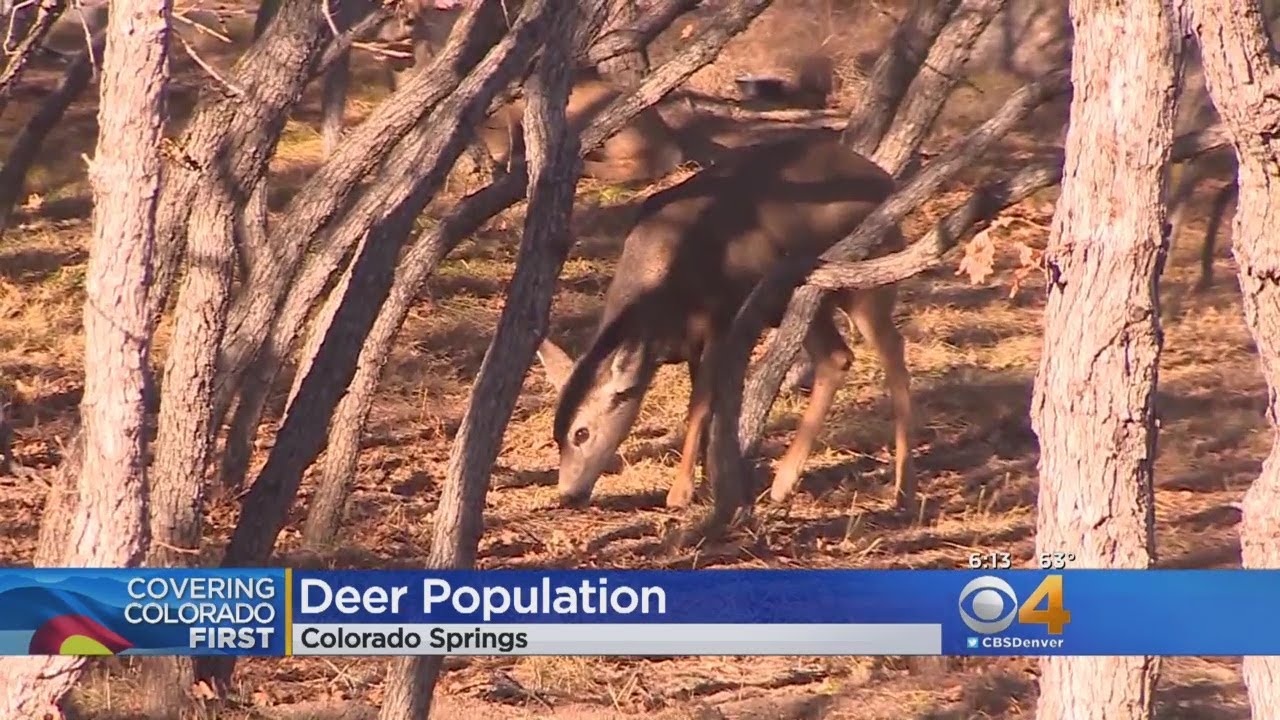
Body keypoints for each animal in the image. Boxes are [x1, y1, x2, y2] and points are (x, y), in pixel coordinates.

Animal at [534, 128, 914, 510]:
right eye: (555, 434)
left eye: (581, 433)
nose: (568, 493)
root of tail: (885, 180)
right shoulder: (692, 341)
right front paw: (705, 482)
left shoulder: (722, 319)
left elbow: (700, 408)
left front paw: (681, 491)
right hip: (802, 296)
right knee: (836, 357)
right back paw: (784, 482)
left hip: (865, 279)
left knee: (894, 355)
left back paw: (901, 485)